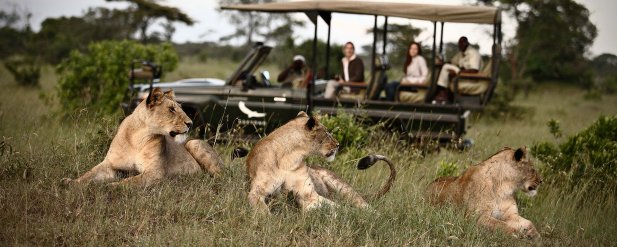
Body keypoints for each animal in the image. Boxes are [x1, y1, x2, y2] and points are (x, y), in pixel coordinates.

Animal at [60, 88, 223, 186]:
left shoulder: (154, 173)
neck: (137, 138)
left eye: (181, 109)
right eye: (171, 109)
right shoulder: (109, 165)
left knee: (221, 176)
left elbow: (128, 182)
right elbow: (88, 174)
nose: (190, 123)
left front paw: (107, 186)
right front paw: (69, 182)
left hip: (194, 143)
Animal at [244, 112, 394, 212]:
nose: (338, 145)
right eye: (327, 133)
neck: (290, 158)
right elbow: (262, 209)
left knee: (367, 207)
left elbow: (335, 207)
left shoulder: (308, 193)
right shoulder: (256, 191)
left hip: (342, 188)